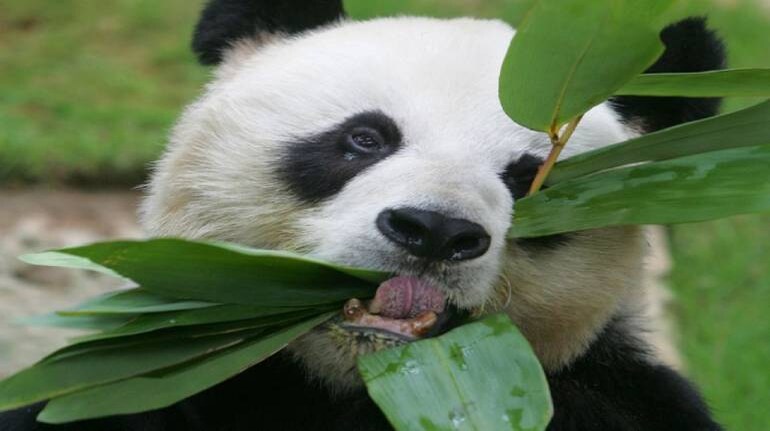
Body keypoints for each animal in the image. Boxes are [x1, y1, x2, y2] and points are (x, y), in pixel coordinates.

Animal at [1, 1, 727, 430]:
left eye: (528, 178)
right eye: (366, 138)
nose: (434, 231)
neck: (385, 383)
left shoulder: (609, 399)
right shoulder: (150, 382)